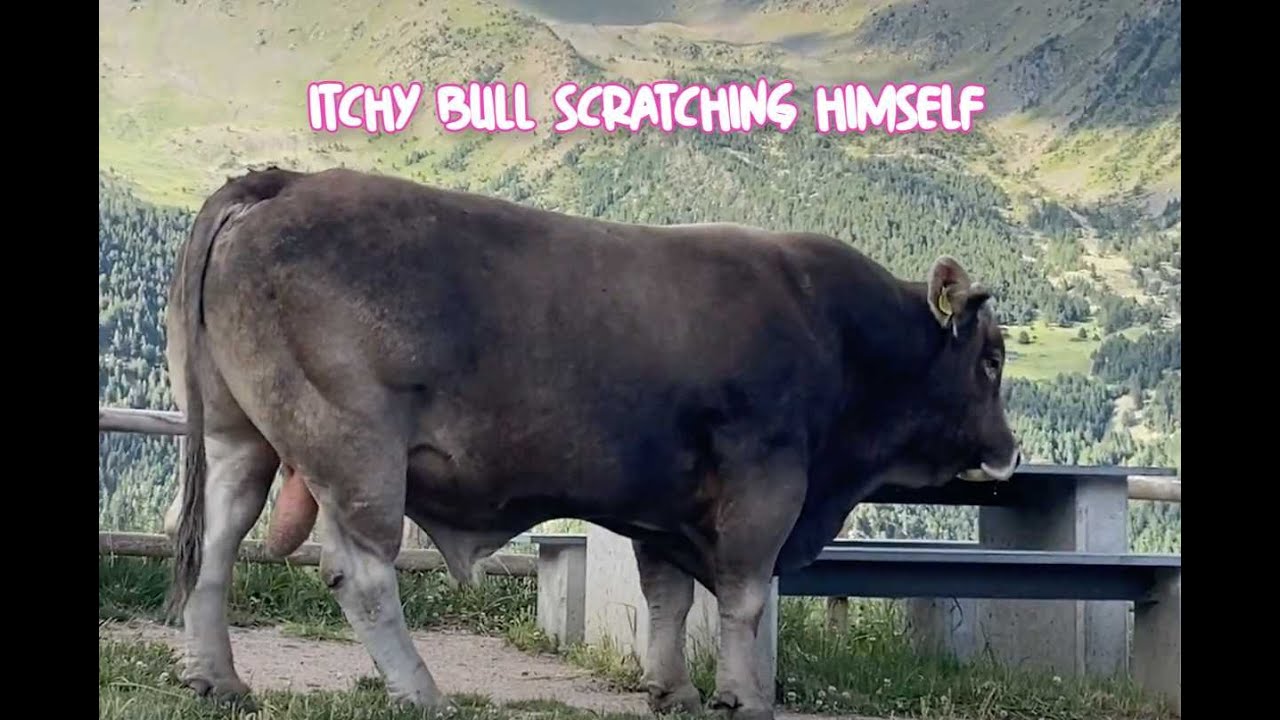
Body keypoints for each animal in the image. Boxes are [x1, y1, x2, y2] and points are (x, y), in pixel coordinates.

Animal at [163, 166, 1021, 720]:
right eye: (991, 358)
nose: (1010, 451)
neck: (838, 330)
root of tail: (282, 181)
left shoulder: (662, 503)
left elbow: (668, 596)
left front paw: (674, 692)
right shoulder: (766, 476)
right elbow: (743, 596)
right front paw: (744, 696)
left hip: (239, 433)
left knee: (215, 542)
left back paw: (216, 678)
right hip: (354, 445)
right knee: (359, 571)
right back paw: (422, 693)